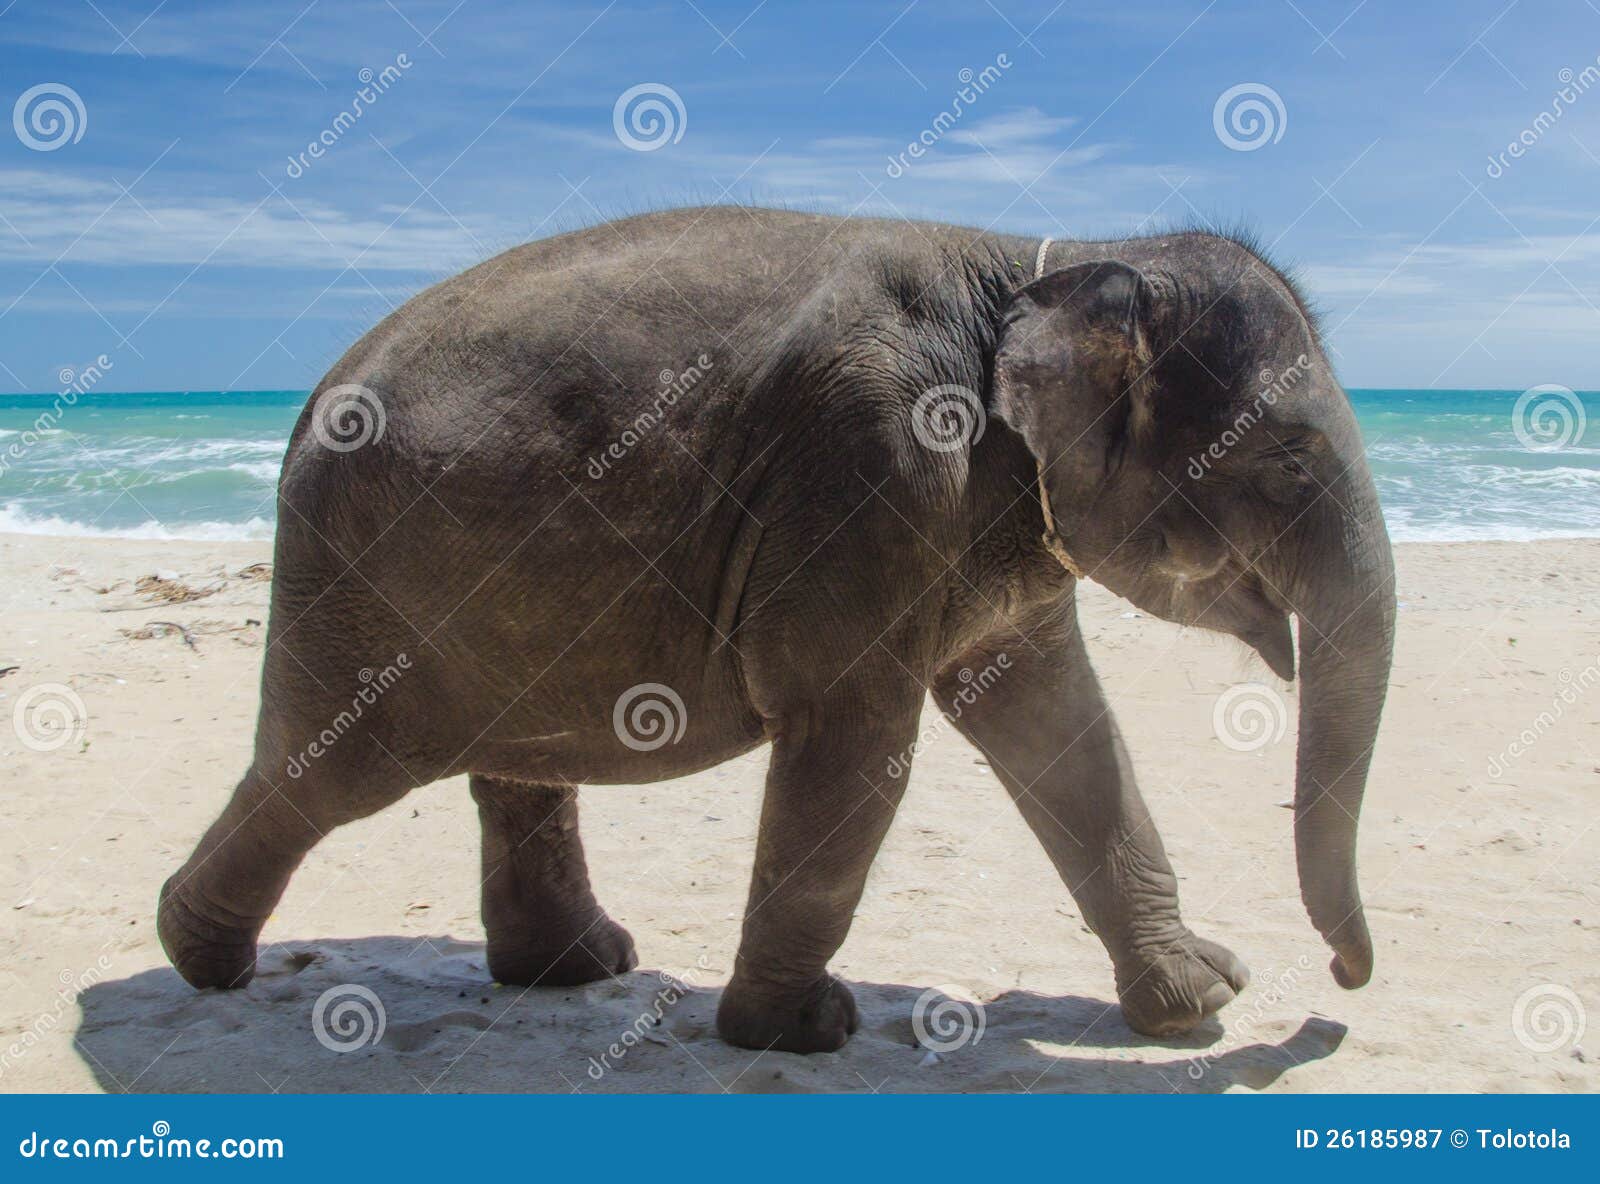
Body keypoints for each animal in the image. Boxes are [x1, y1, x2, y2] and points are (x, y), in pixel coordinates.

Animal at [157, 207, 1395, 1054]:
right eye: (1288, 460)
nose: (1341, 983)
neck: (1053, 258)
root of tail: (302, 405)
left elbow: (1062, 731)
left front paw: (1201, 995)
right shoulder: (872, 469)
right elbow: (856, 738)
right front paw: (798, 1030)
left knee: (508, 769)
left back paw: (574, 968)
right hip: (360, 590)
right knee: (326, 773)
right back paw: (199, 954)